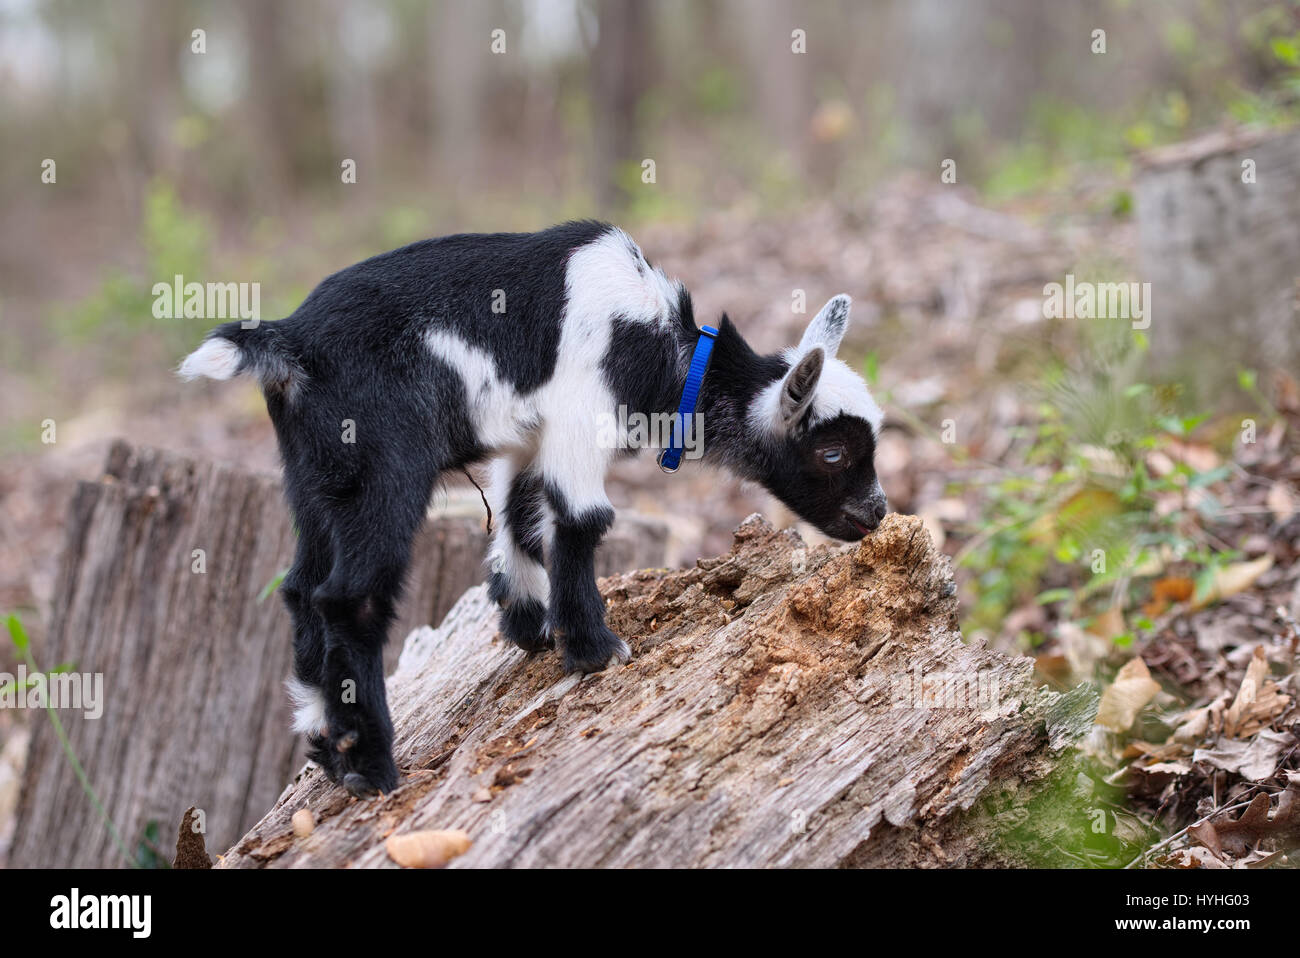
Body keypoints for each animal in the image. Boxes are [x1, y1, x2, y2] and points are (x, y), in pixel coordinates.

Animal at [179, 221, 887, 797]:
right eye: (831, 452)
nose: (877, 512)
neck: (665, 351)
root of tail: (290, 343)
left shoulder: (528, 436)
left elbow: (519, 514)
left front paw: (528, 624)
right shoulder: (582, 415)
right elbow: (582, 518)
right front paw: (594, 649)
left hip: (315, 476)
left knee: (301, 588)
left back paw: (328, 747)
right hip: (381, 467)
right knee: (349, 598)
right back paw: (373, 768)